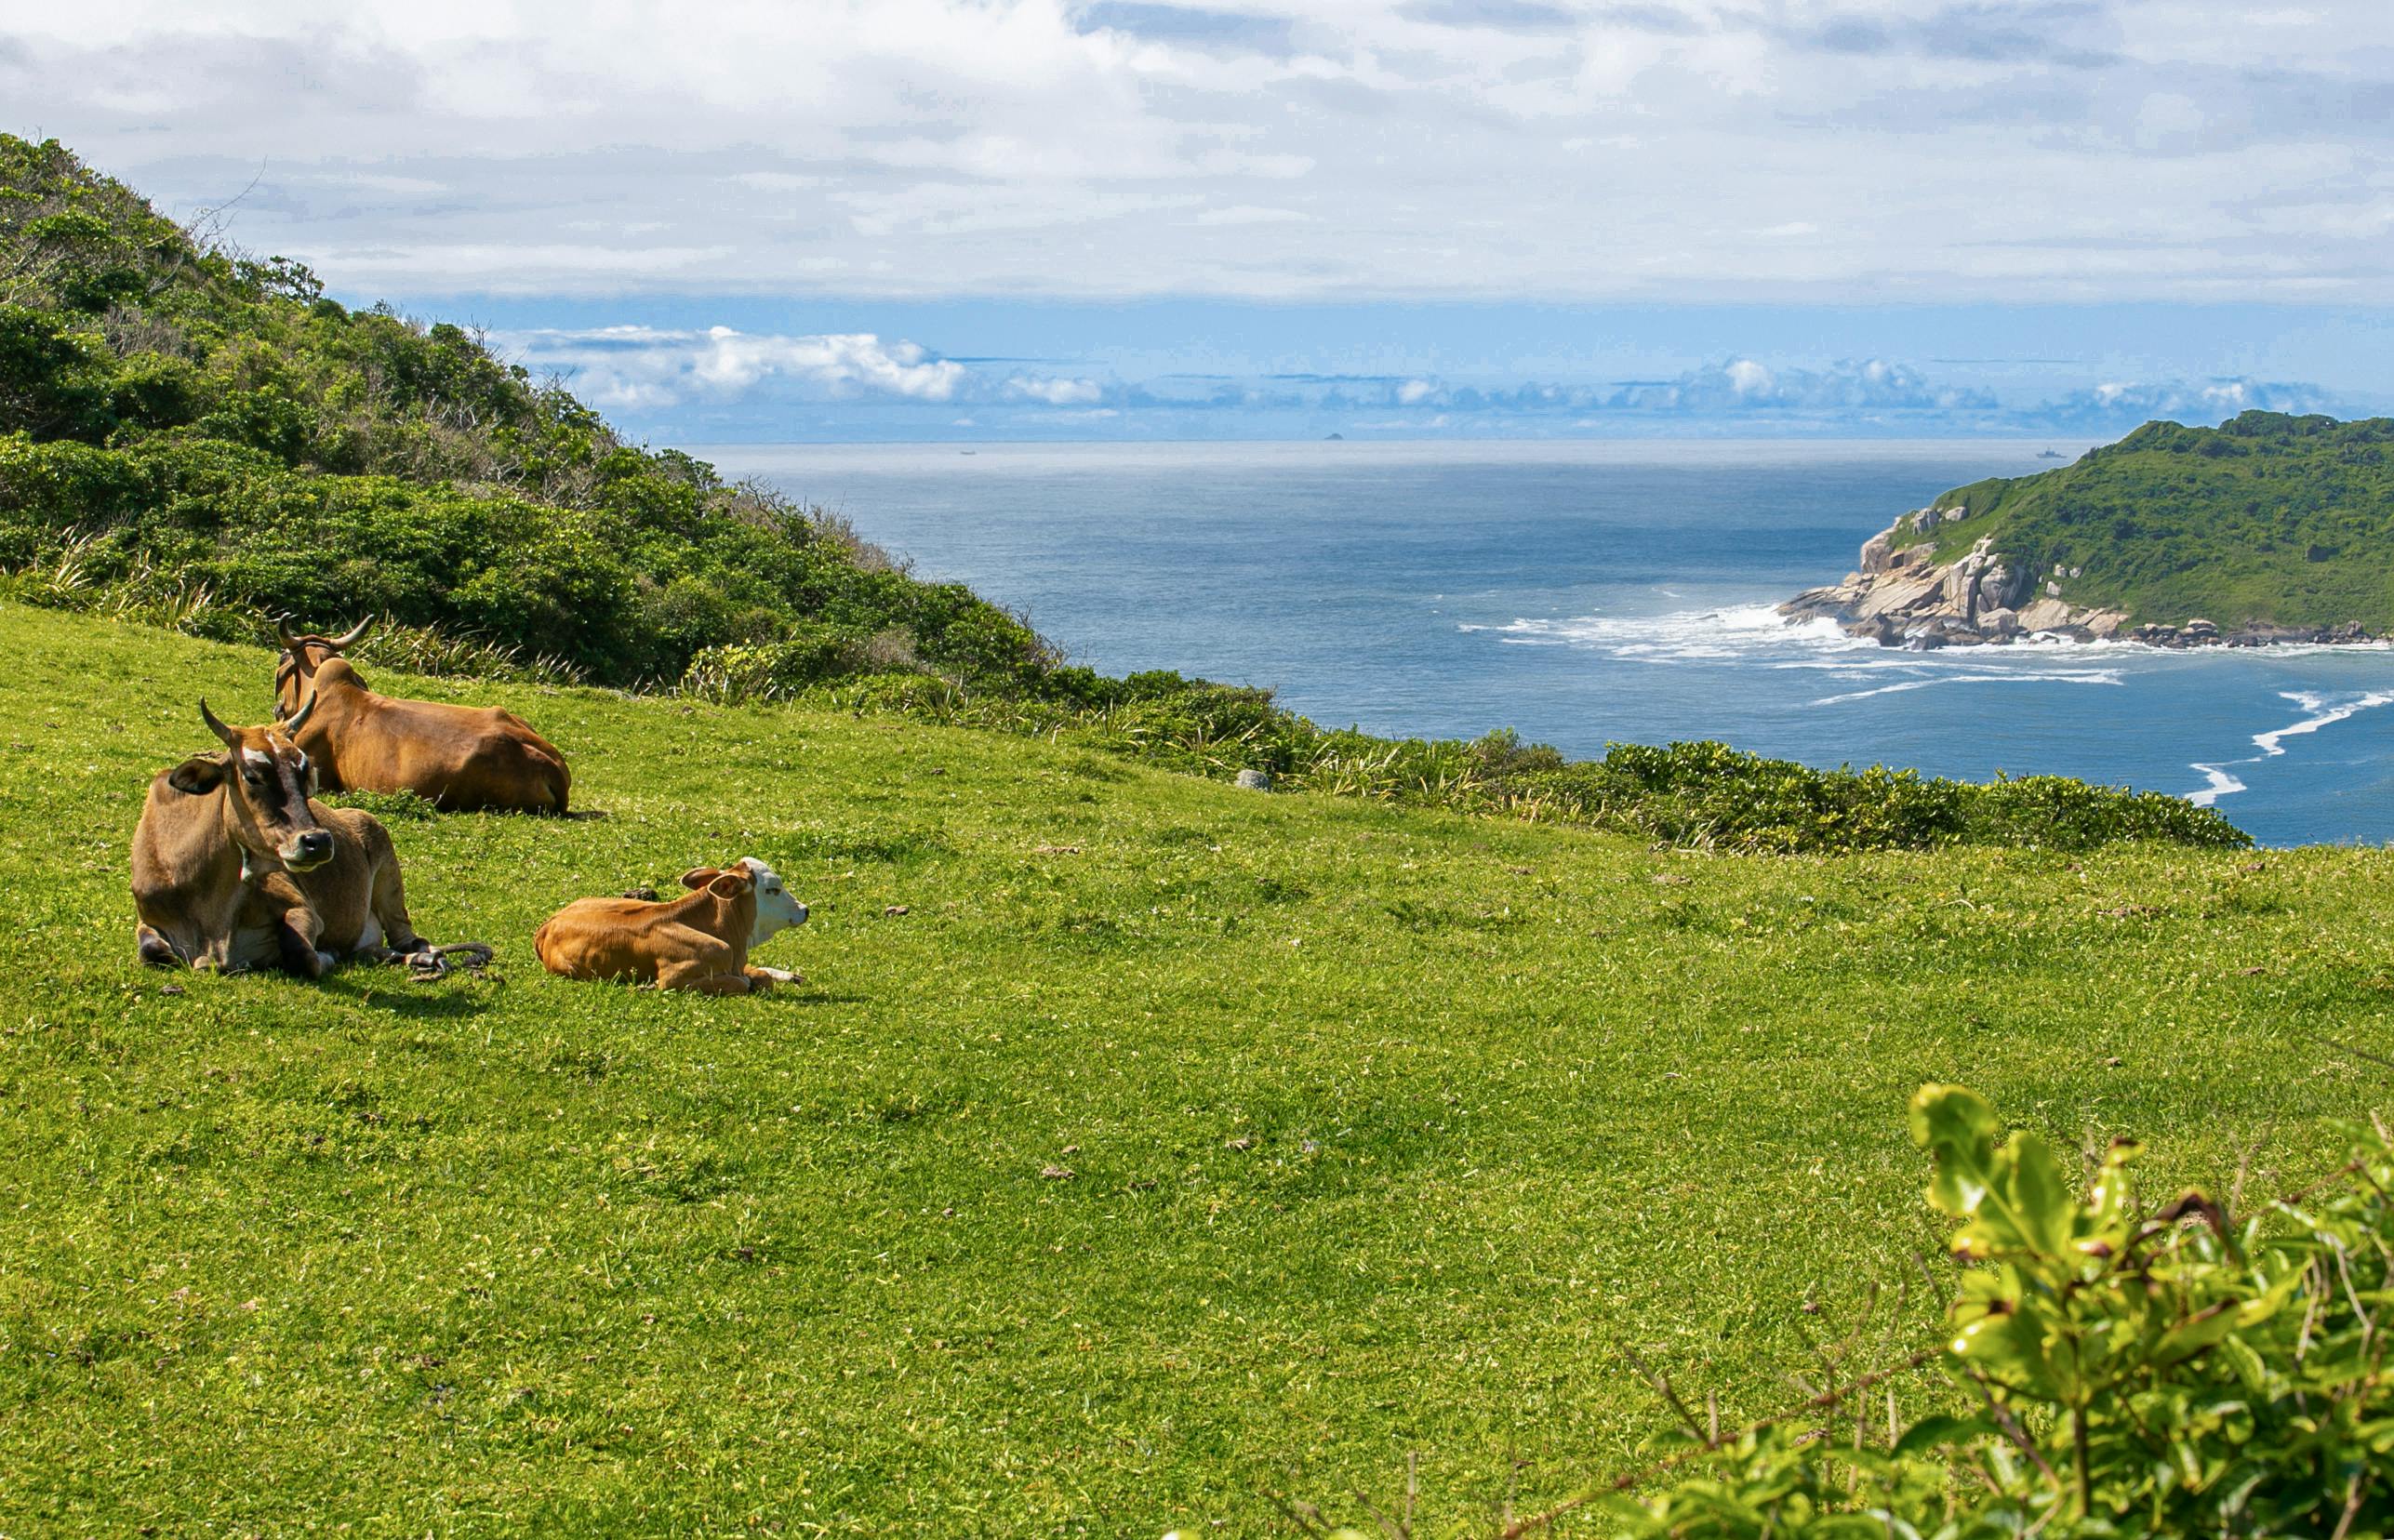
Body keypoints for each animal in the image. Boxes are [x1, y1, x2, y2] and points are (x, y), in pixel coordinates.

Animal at [131, 697, 493, 979]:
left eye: (304, 771)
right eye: (252, 776)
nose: (317, 841)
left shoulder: (302, 908)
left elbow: (301, 953)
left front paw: (327, 955)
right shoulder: (149, 920)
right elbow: (152, 951)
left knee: (407, 938)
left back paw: (424, 956)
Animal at [534, 858, 808, 994]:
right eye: (772, 889)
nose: (805, 909)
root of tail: (548, 924)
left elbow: (759, 976)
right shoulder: (673, 978)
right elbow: (742, 983)